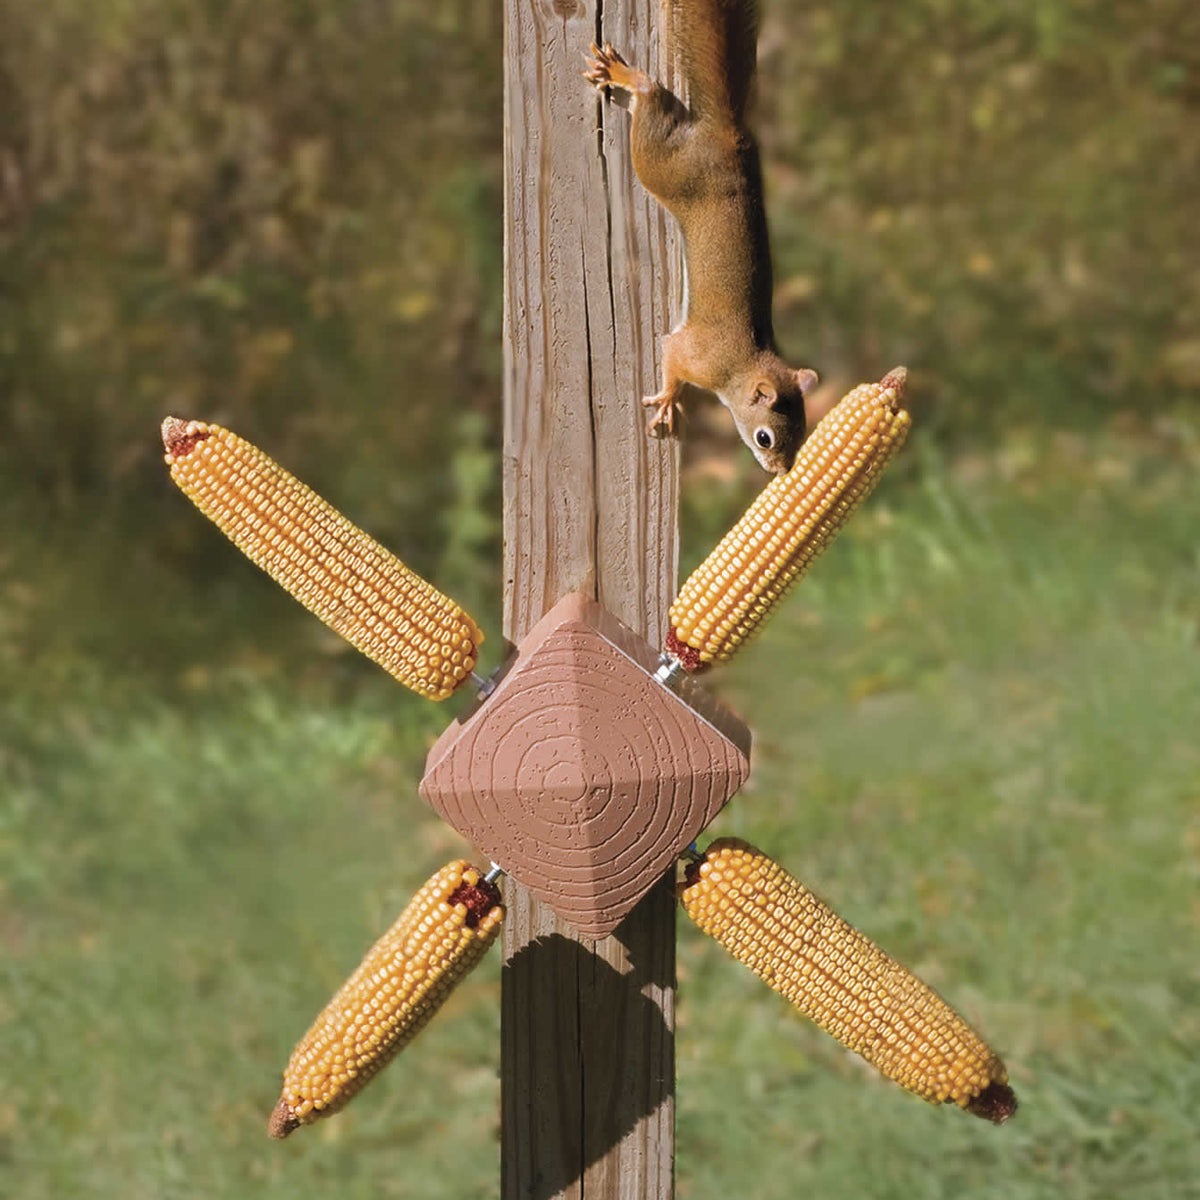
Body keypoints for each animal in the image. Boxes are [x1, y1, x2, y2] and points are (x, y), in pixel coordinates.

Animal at [585, 0, 825, 474]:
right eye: (766, 437)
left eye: (805, 430)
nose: (781, 471)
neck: (741, 364)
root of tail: (729, 139)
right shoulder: (692, 353)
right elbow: (671, 355)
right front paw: (668, 398)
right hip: (663, 168)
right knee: (649, 98)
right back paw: (627, 76)